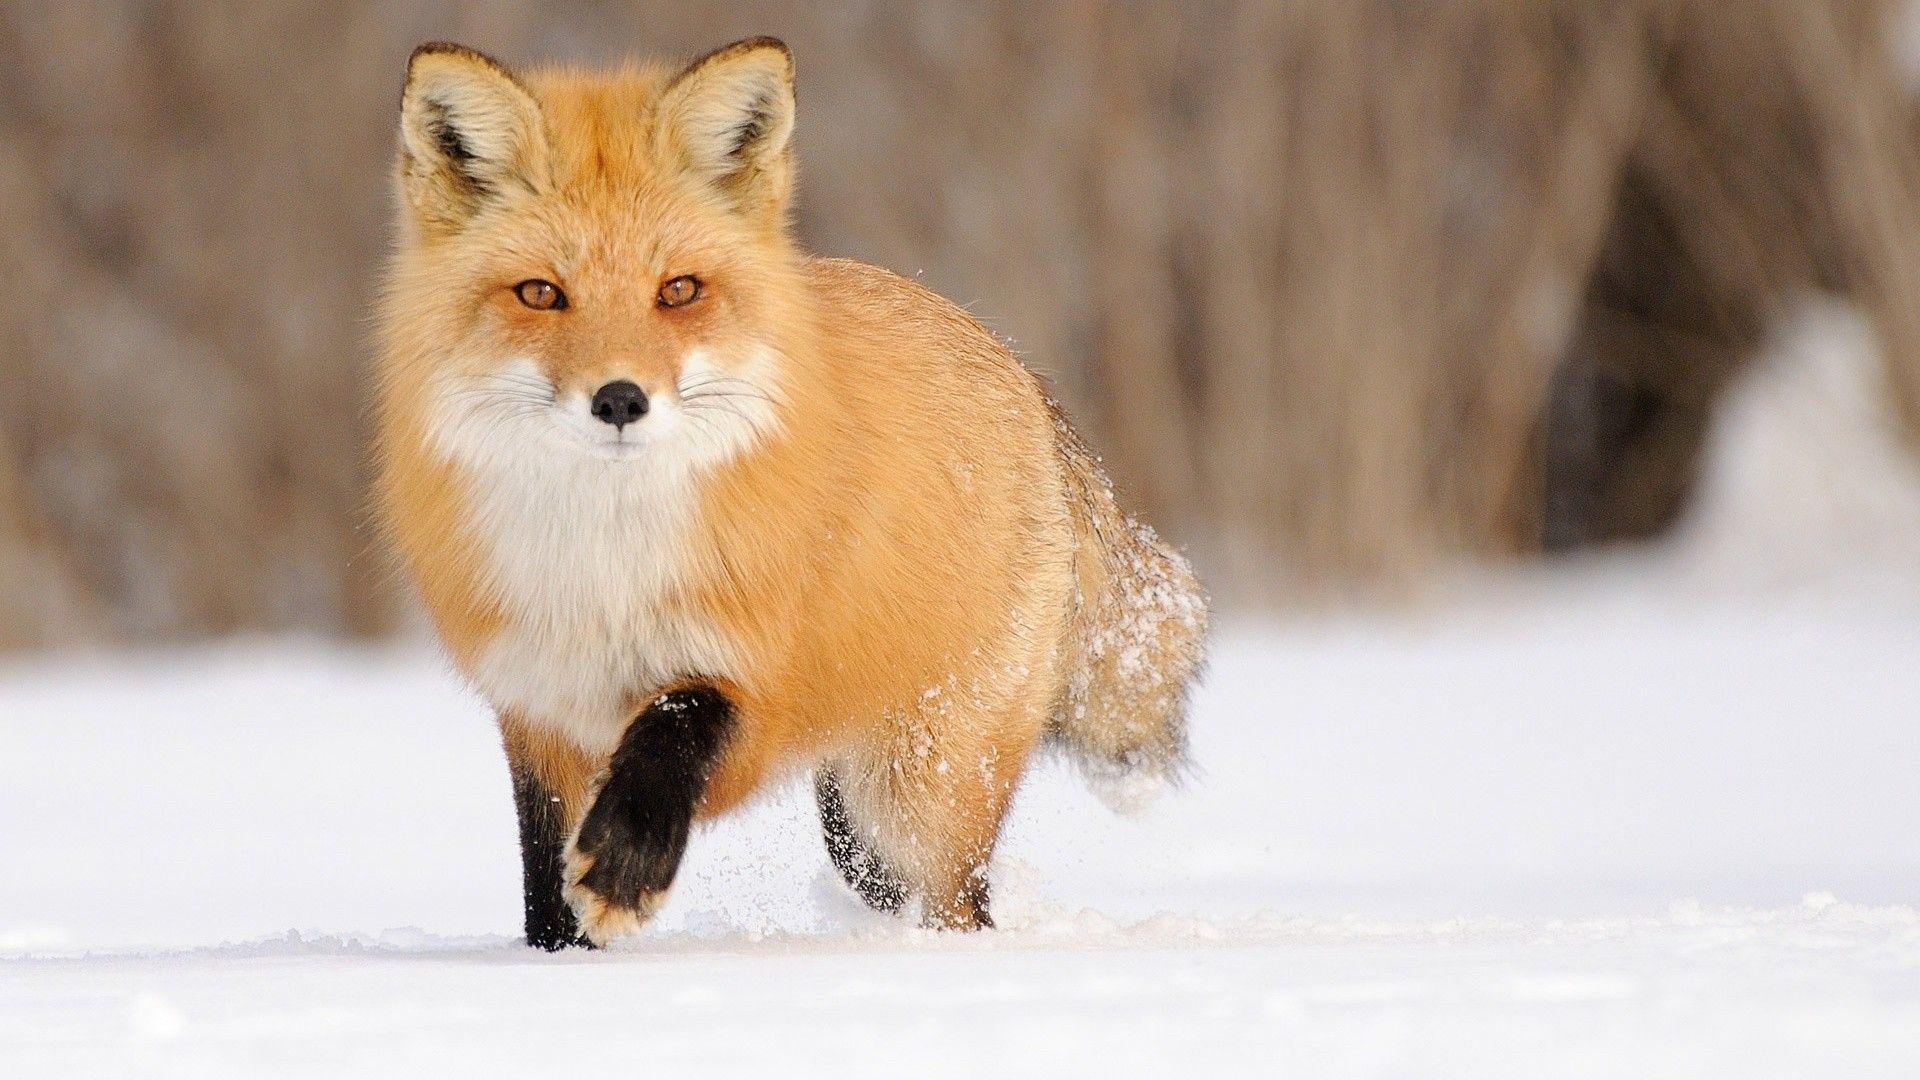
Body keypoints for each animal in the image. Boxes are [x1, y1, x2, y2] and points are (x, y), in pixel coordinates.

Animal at [373, 36, 1207, 948]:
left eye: (678, 291)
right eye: (540, 294)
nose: (621, 400)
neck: (606, 571)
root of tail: (1019, 370)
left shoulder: (756, 678)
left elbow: (674, 725)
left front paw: (627, 865)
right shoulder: (538, 710)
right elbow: (545, 890)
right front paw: (560, 958)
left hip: (920, 794)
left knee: (961, 903)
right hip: (860, 825)